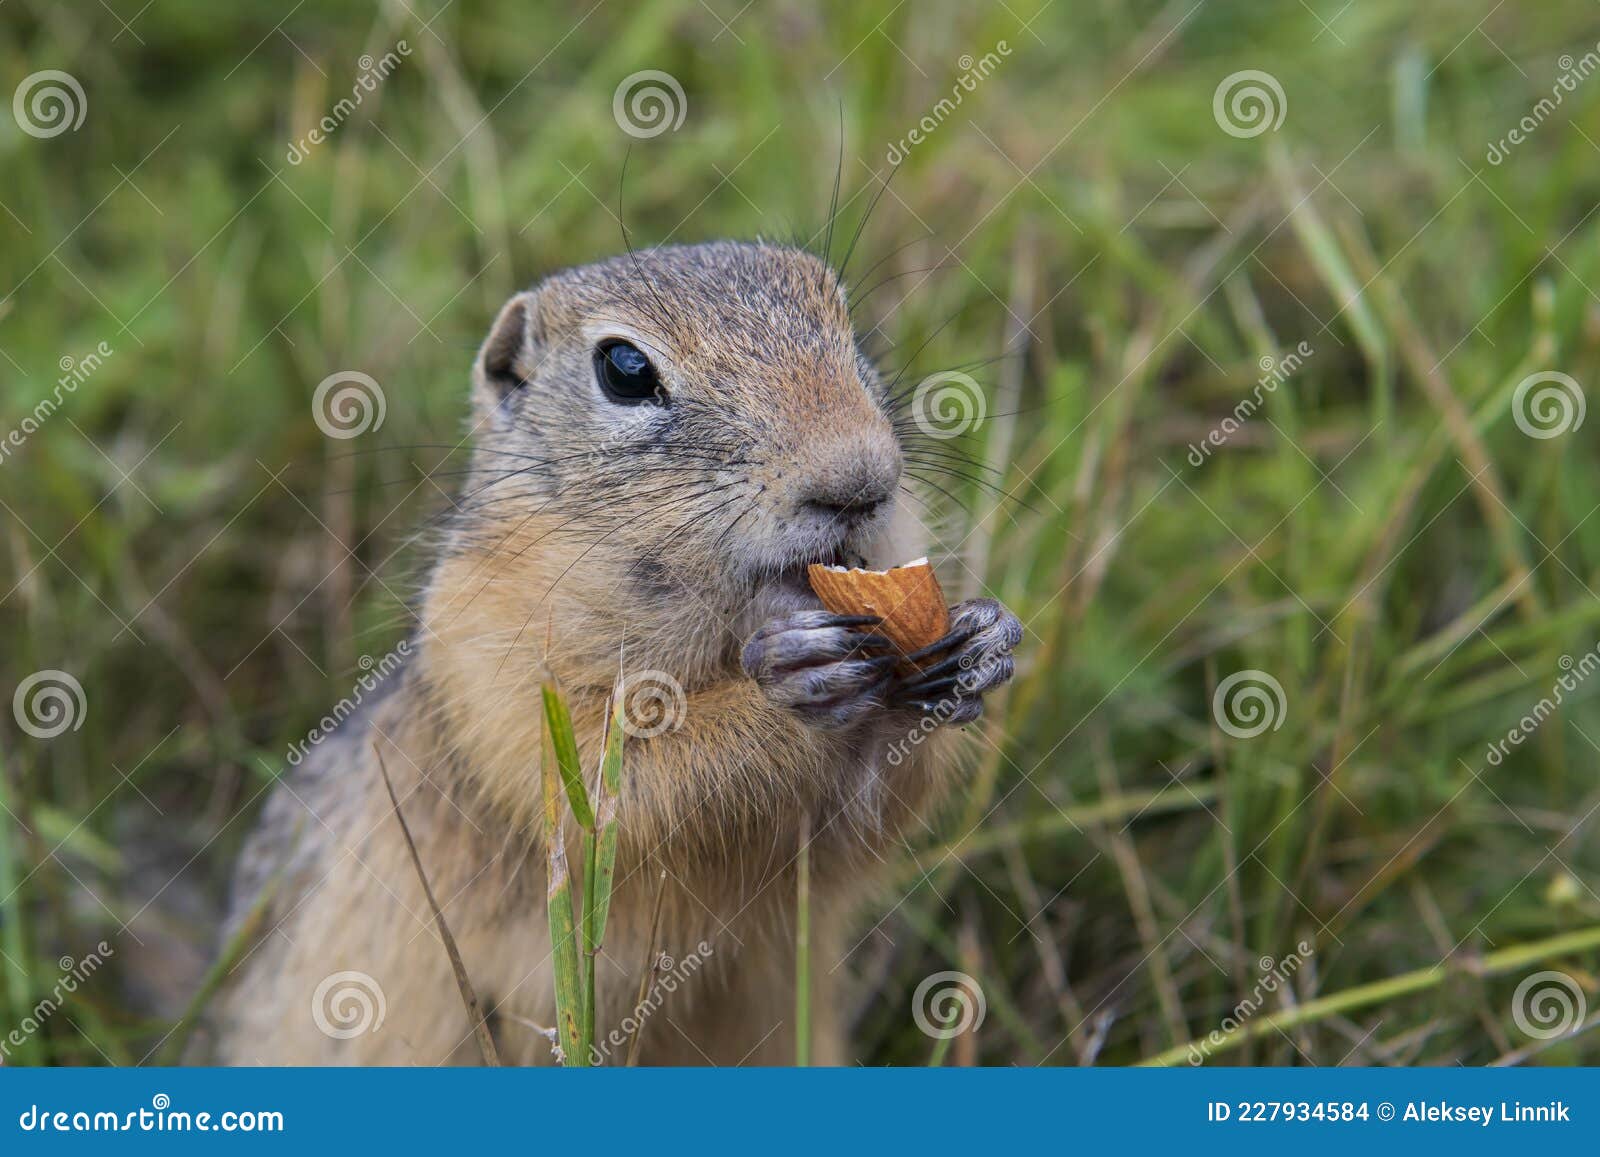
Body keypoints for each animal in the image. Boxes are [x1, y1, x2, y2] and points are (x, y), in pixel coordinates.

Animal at [207, 241, 1022, 1065]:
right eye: (624, 369)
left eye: (848, 325)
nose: (859, 479)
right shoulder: (488, 659)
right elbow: (608, 789)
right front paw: (791, 680)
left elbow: (873, 819)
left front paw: (983, 640)